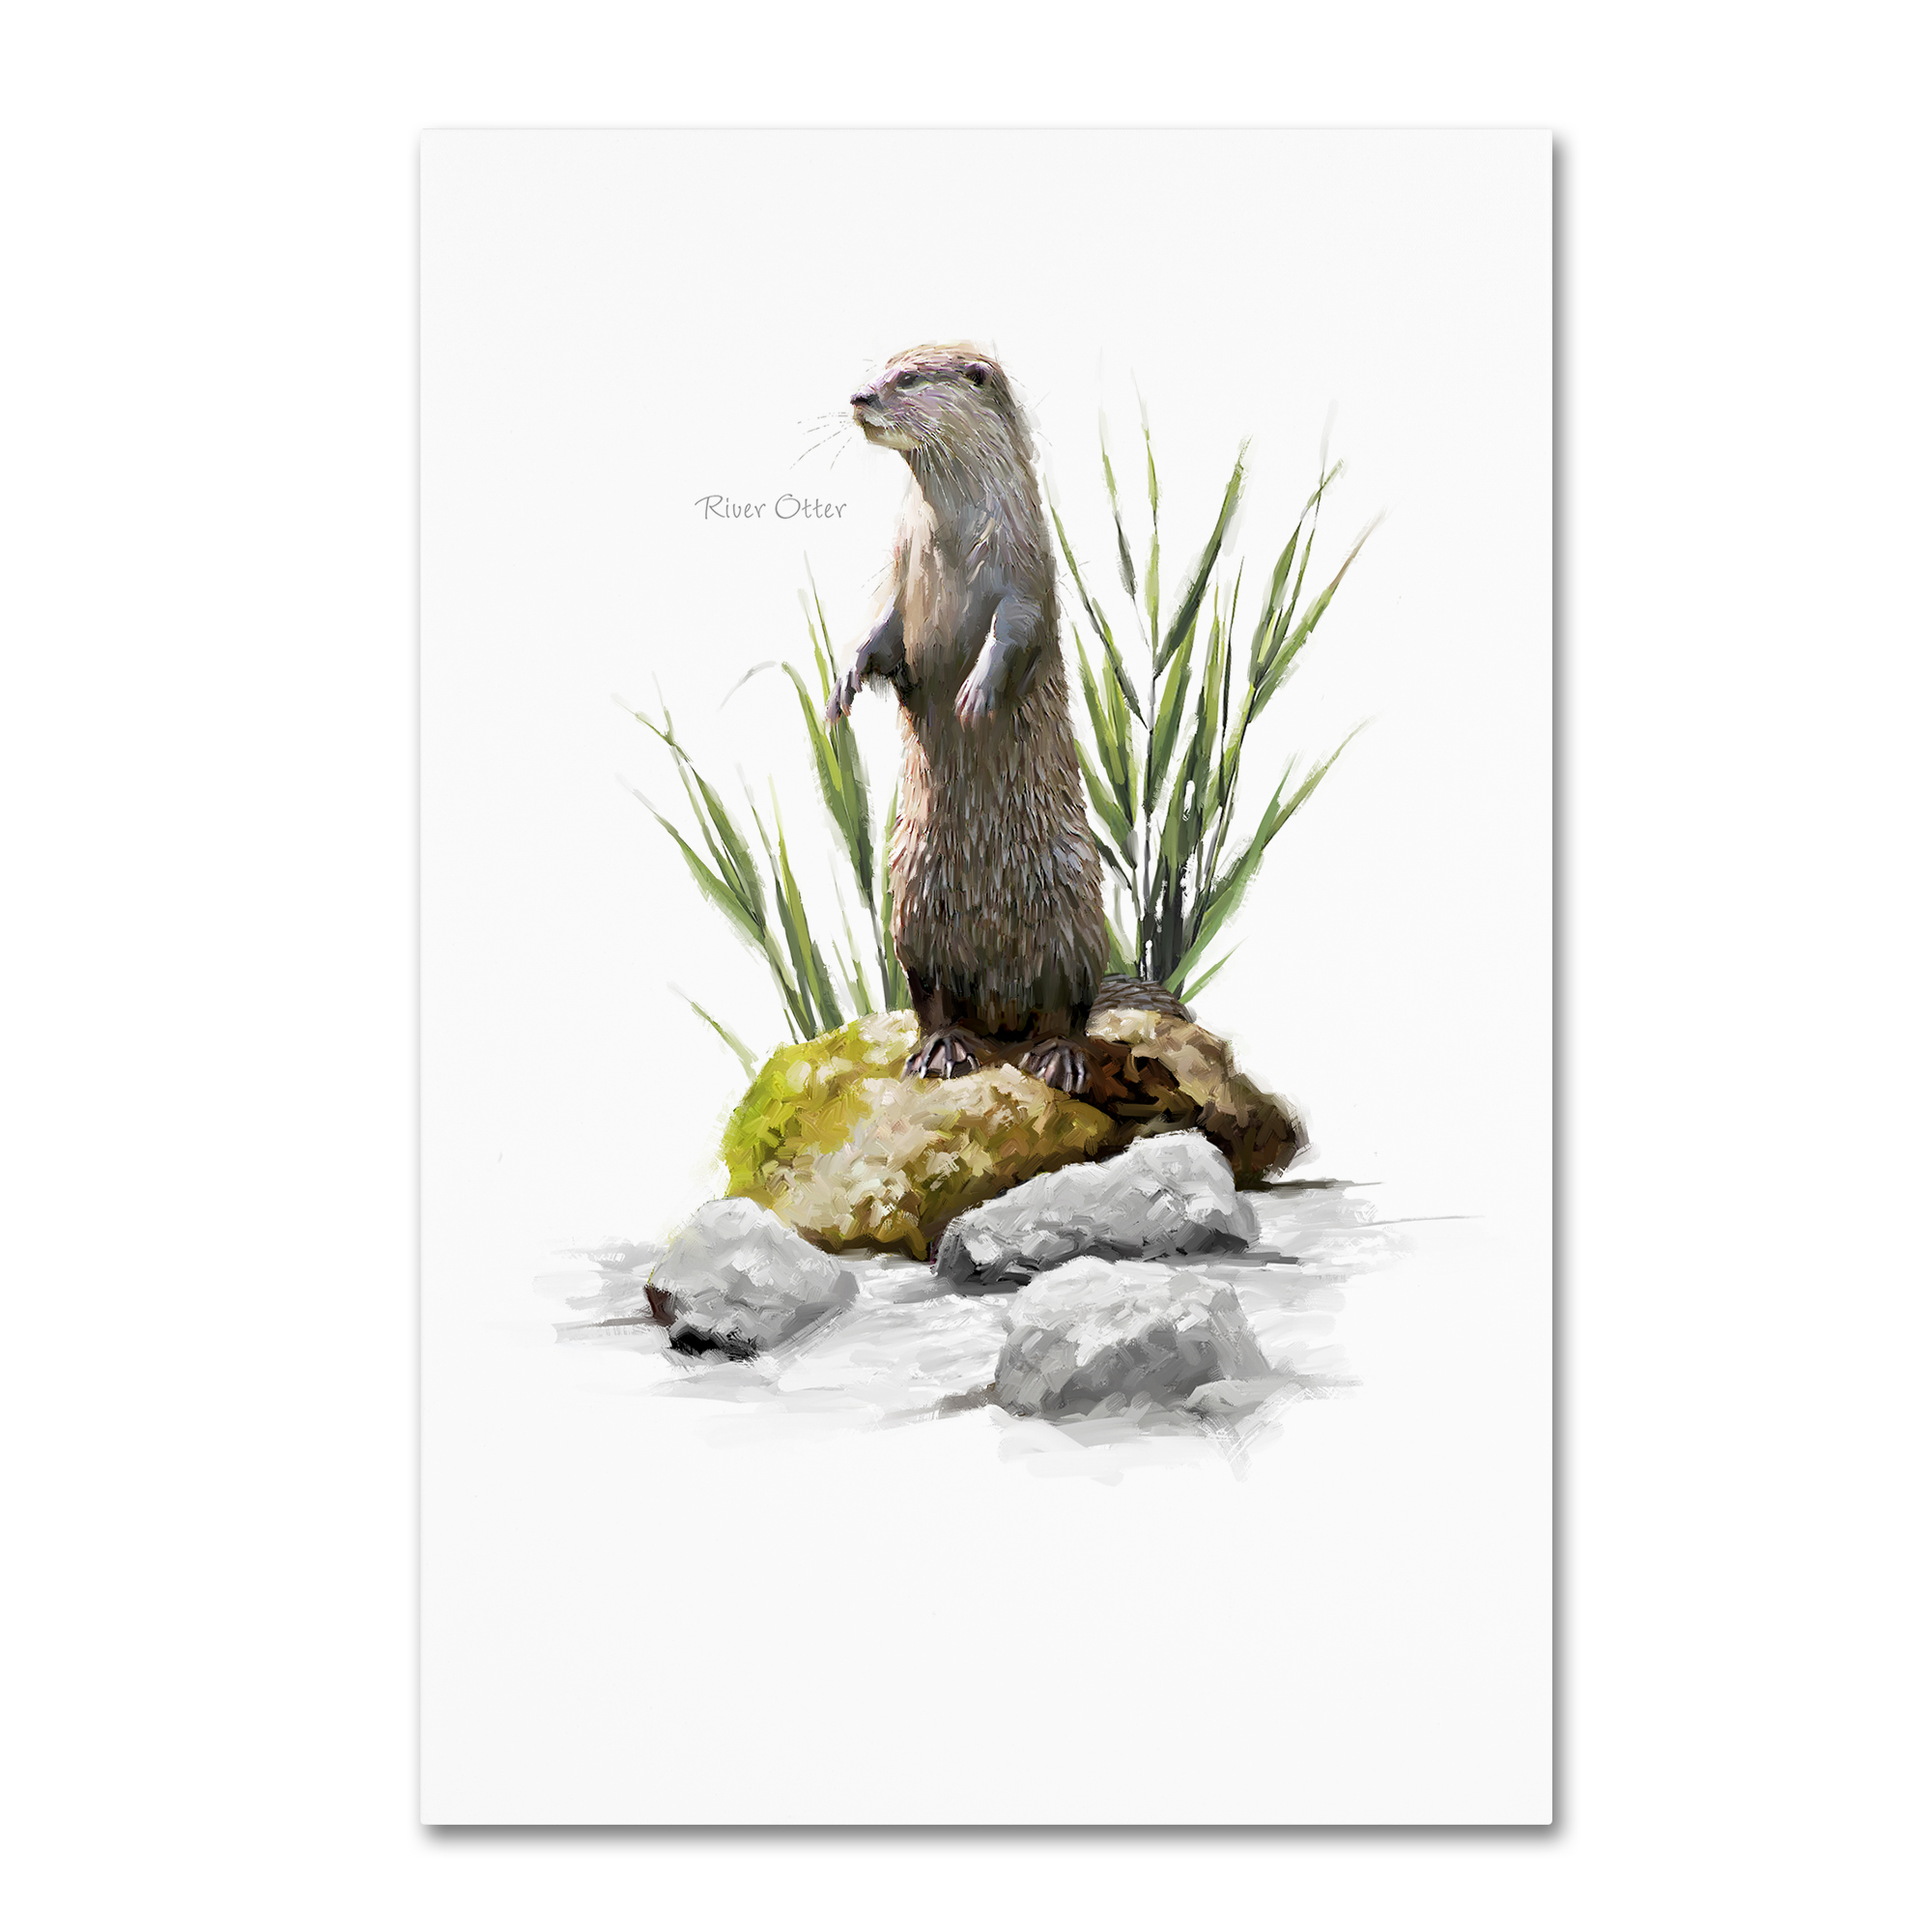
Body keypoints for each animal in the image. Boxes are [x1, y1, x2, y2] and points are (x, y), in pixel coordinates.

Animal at [824, 344, 1107, 1096]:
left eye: (908, 378)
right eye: (880, 367)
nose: (860, 396)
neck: (952, 540)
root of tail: (1001, 1004)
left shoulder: (1027, 564)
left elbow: (1017, 629)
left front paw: (976, 693)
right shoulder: (897, 571)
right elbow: (881, 627)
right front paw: (846, 680)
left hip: (1077, 908)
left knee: (1073, 1000)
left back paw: (1058, 1056)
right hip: (910, 901)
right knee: (930, 993)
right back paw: (943, 1048)